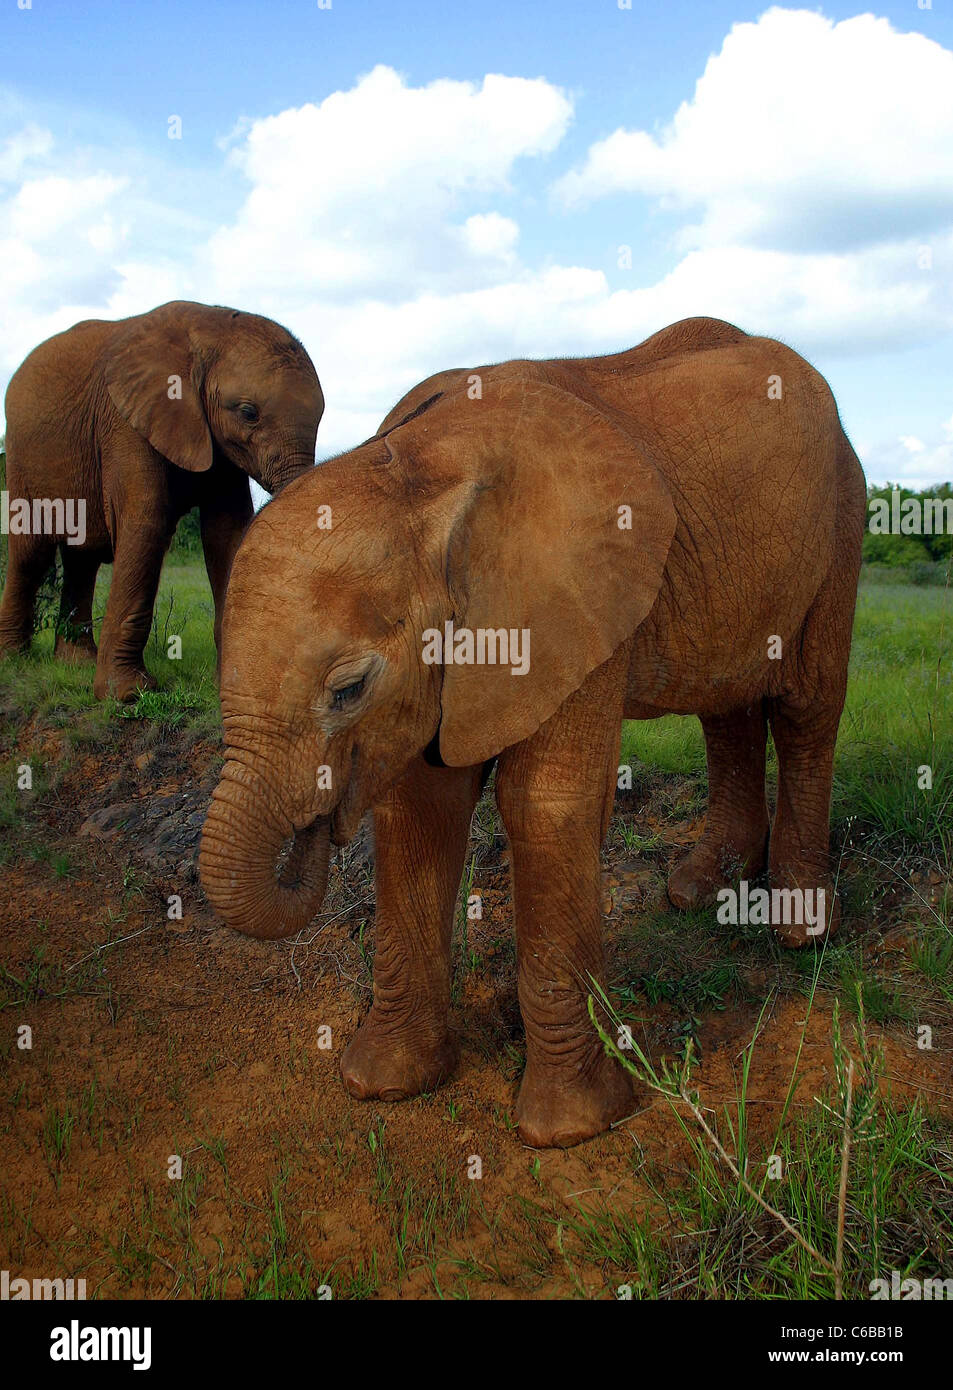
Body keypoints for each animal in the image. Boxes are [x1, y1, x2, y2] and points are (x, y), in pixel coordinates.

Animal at [0, 300, 324, 700]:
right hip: (22, 456)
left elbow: (226, 532)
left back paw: (76, 663)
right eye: (248, 413)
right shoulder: (126, 421)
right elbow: (146, 521)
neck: (210, 327)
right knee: (32, 553)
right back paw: (15, 661)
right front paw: (127, 695)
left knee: (82, 558)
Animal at [198, 316, 866, 1148]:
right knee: (727, 705)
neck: (417, 471)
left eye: (348, 691)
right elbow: (421, 807)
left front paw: (568, 1129)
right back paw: (694, 892)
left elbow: (543, 807)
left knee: (806, 705)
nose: (317, 825)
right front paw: (381, 1084)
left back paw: (799, 932)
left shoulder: (576, 595)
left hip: (842, 512)